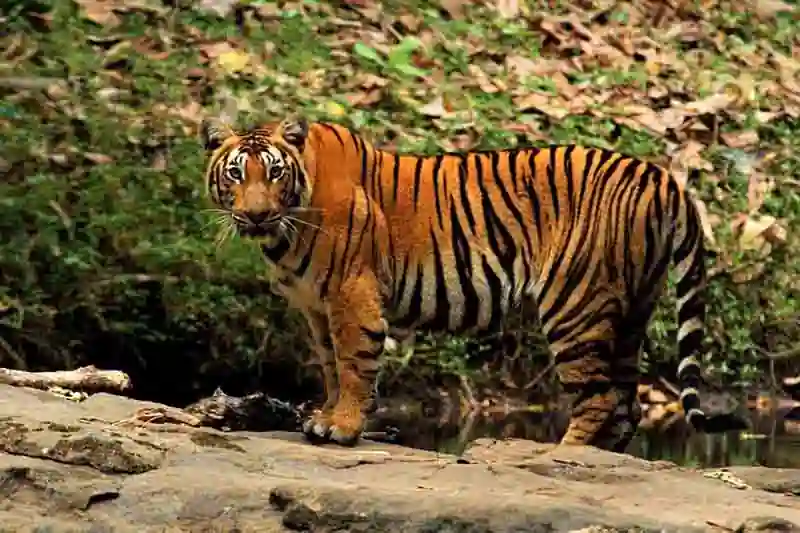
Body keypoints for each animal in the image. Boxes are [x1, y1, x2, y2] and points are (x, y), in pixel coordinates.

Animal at [200, 116, 723, 453]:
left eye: (274, 172)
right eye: (236, 174)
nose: (255, 214)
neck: (286, 228)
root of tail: (661, 176)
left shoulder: (352, 293)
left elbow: (353, 364)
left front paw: (343, 428)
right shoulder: (316, 306)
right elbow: (330, 366)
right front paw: (325, 417)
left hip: (575, 302)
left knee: (600, 398)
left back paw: (561, 454)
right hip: (634, 306)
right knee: (627, 403)